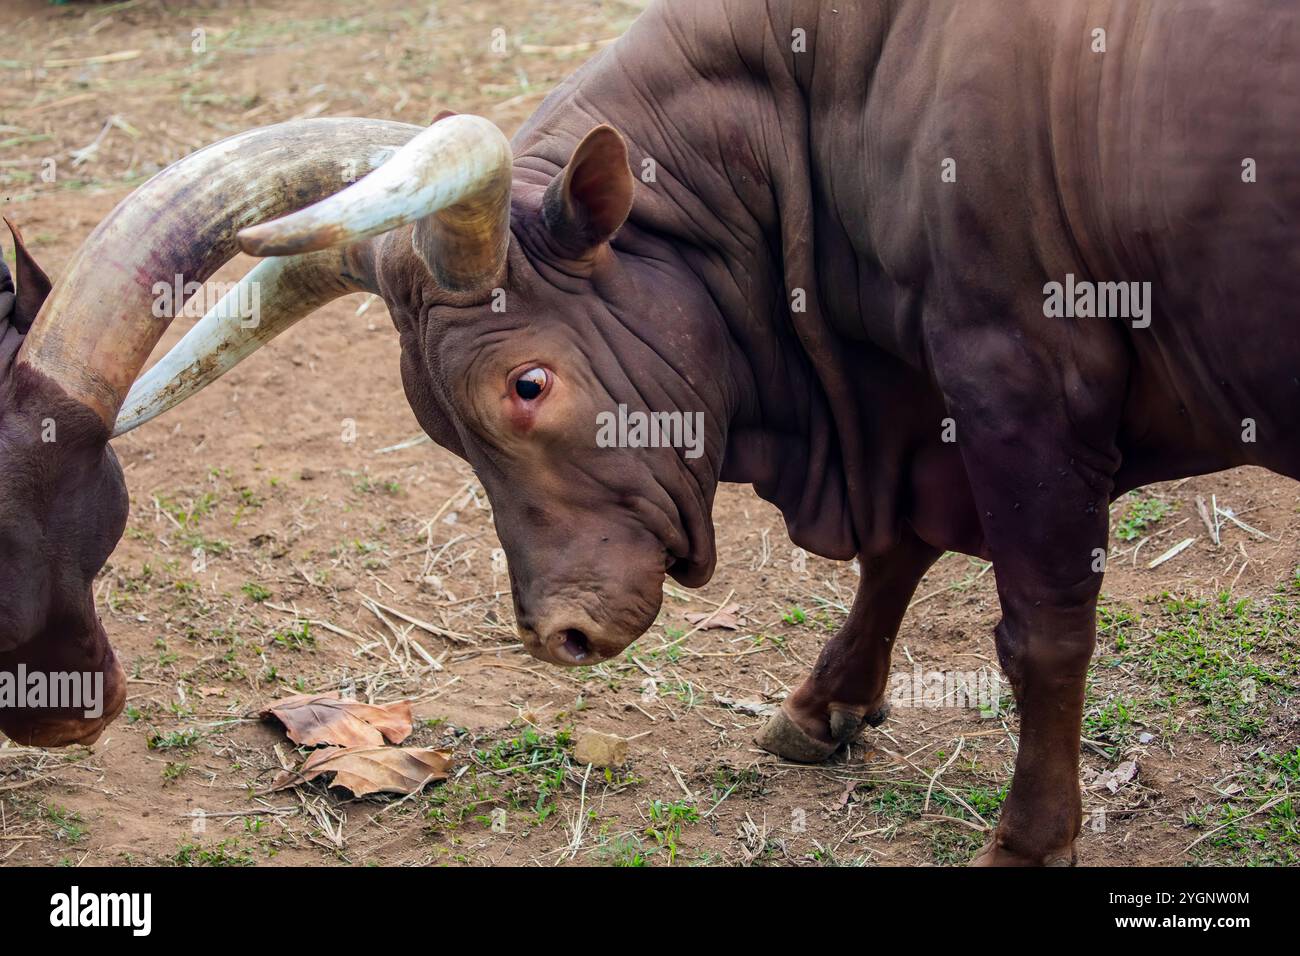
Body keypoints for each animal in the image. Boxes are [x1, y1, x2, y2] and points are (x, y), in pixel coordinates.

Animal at [11, 0, 1299, 866]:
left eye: (528, 385)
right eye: (435, 426)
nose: (559, 632)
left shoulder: (1016, 374)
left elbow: (1040, 635)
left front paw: (1029, 837)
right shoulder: (921, 394)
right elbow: (898, 553)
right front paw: (826, 700)